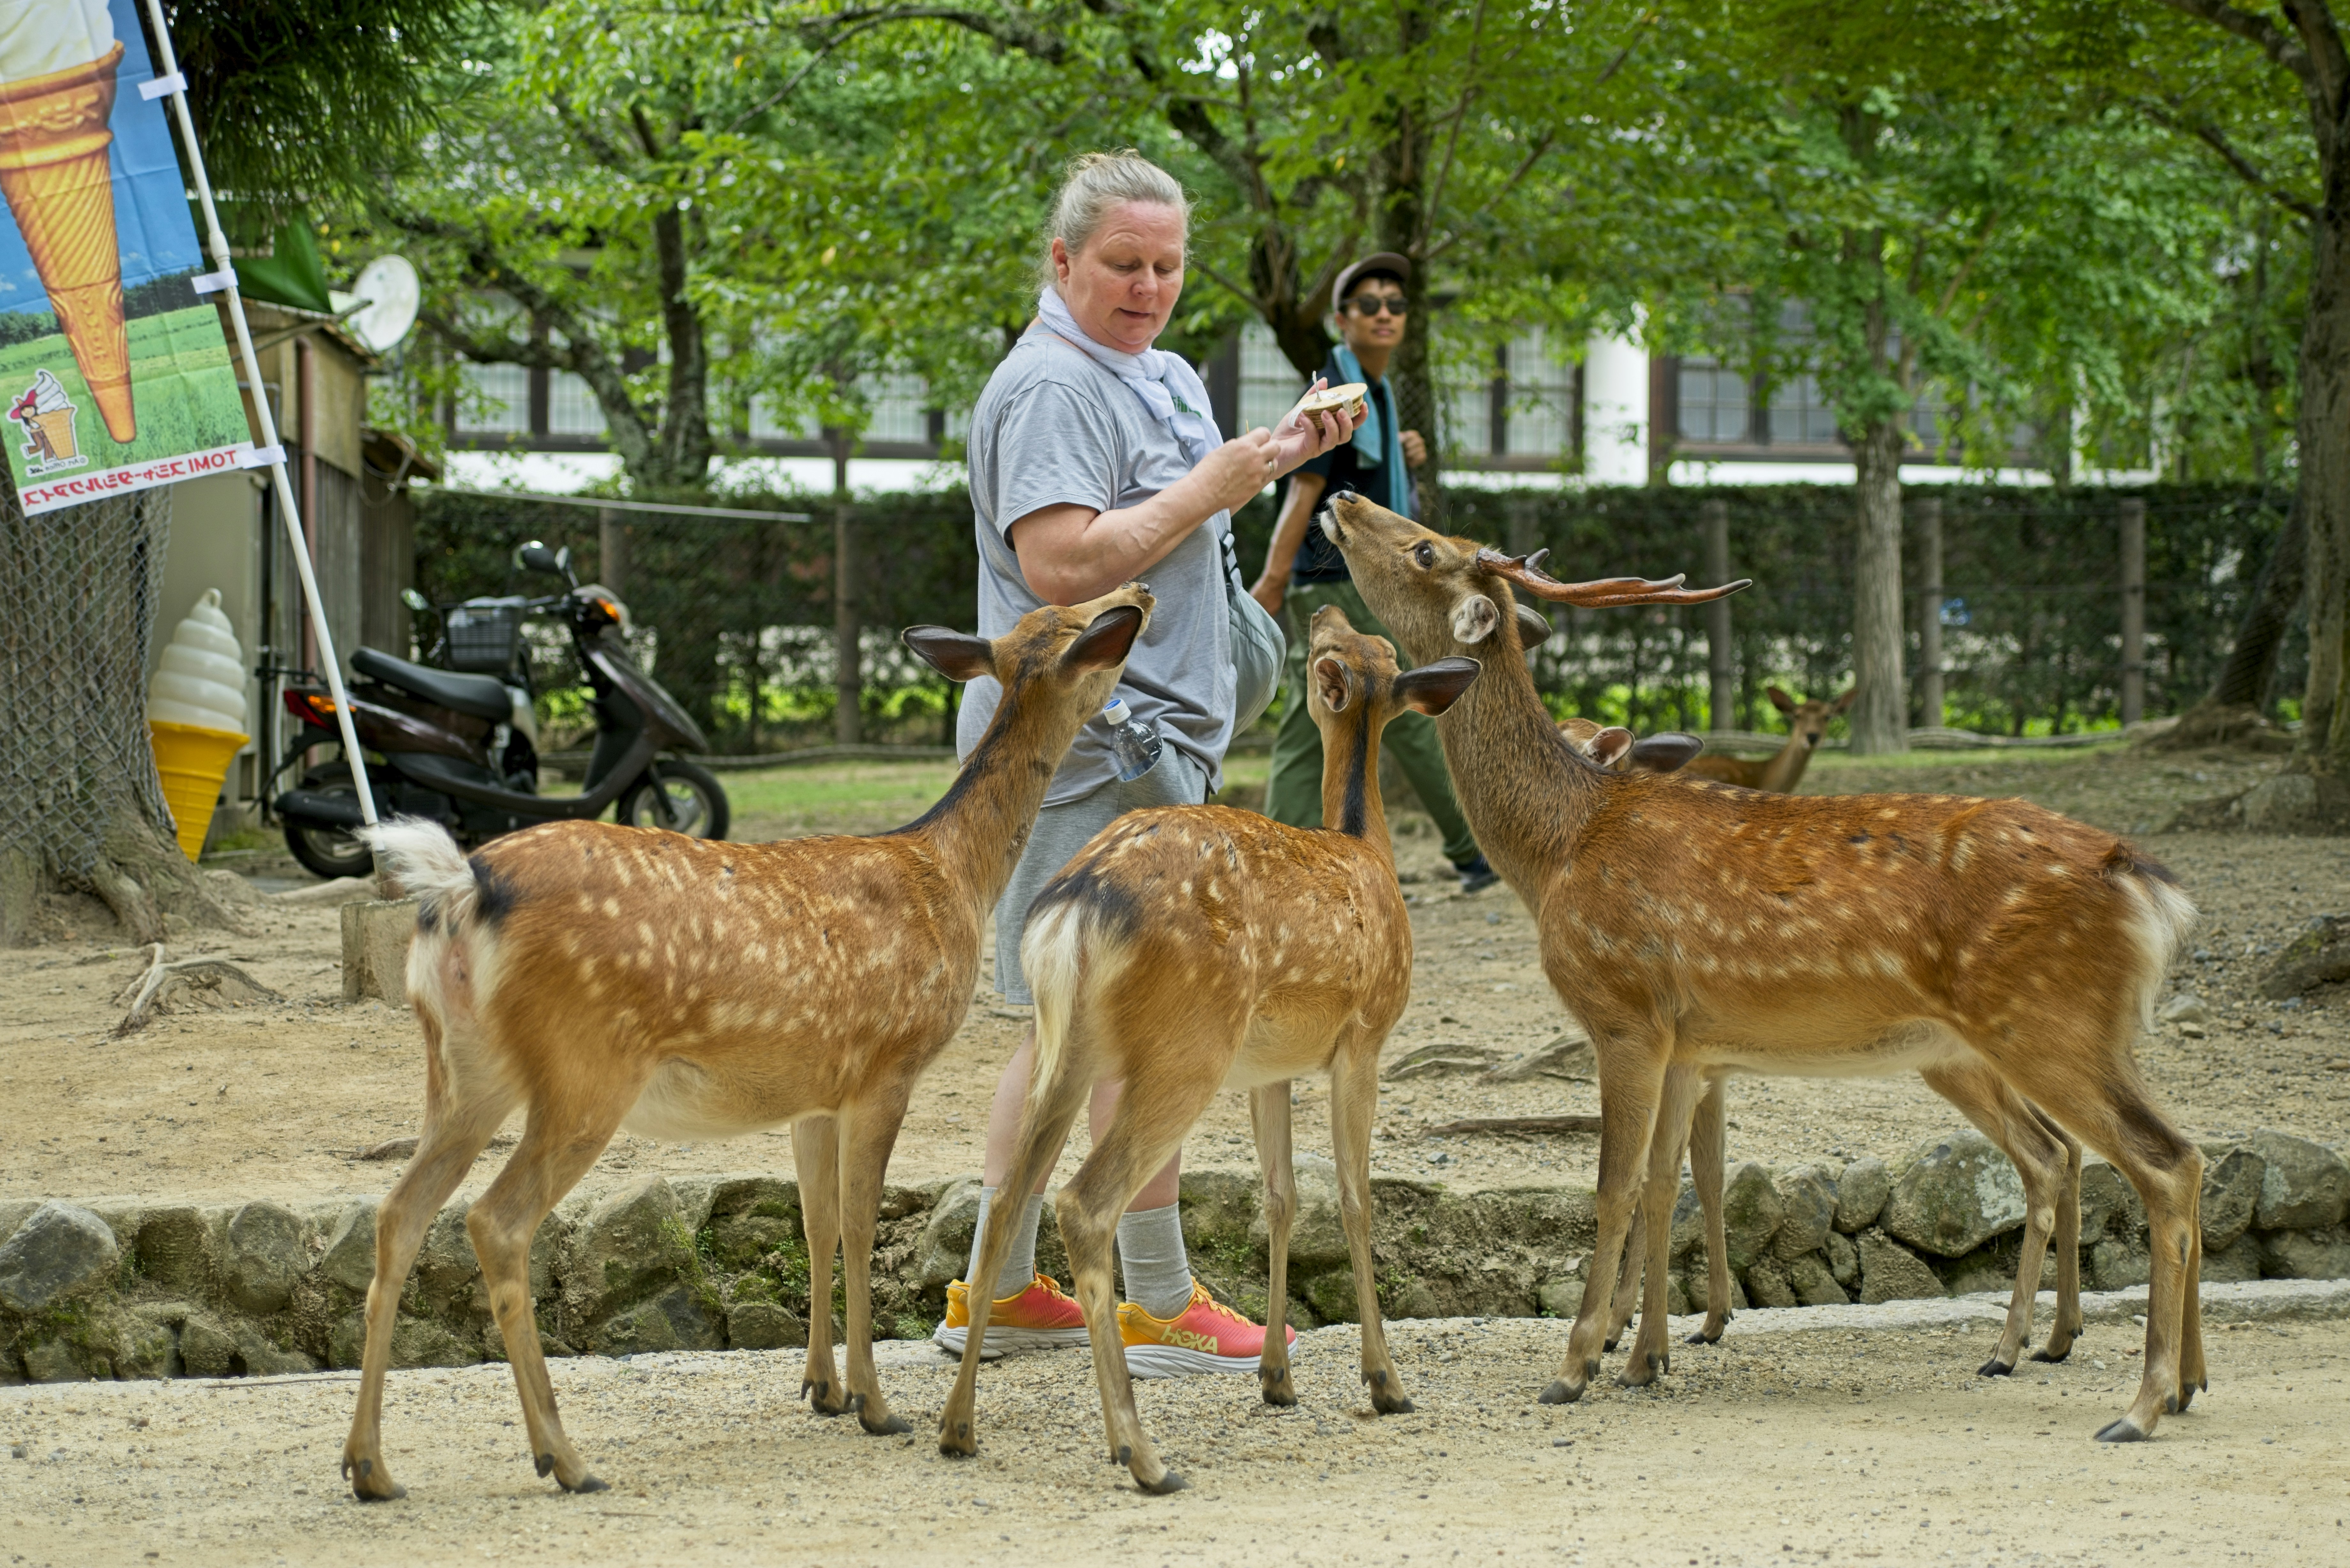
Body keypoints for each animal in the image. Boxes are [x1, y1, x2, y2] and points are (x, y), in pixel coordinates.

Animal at [335, 585, 1153, 1501]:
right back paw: (565, 1458)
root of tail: (460, 889)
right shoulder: (888, 1064)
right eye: (1086, 626)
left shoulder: (814, 1092)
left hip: (463, 1071)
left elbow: (817, 1223)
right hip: (585, 1070)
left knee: (400, 1212)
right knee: (495, 1221)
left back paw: (371, 1466)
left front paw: (822, 1387)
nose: (1141, 592)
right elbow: (862, 1224)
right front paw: (875, 1404)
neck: (951, 874)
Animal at [938, 605, 1481, 1494]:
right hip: (1185, 1049)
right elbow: (1355, 1199)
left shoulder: (1271, 1067)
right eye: (1360, 648)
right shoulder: (1363, 1038)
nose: (1319, 608)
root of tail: (1076, 907)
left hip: (1067, 1047)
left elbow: (1282, 1196)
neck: (1367, 848)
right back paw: (1141, 1452)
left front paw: (1277, 1379)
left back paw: (957, 1427)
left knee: (1012, 1190)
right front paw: (1385, 1382)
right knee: (1084, 1200)